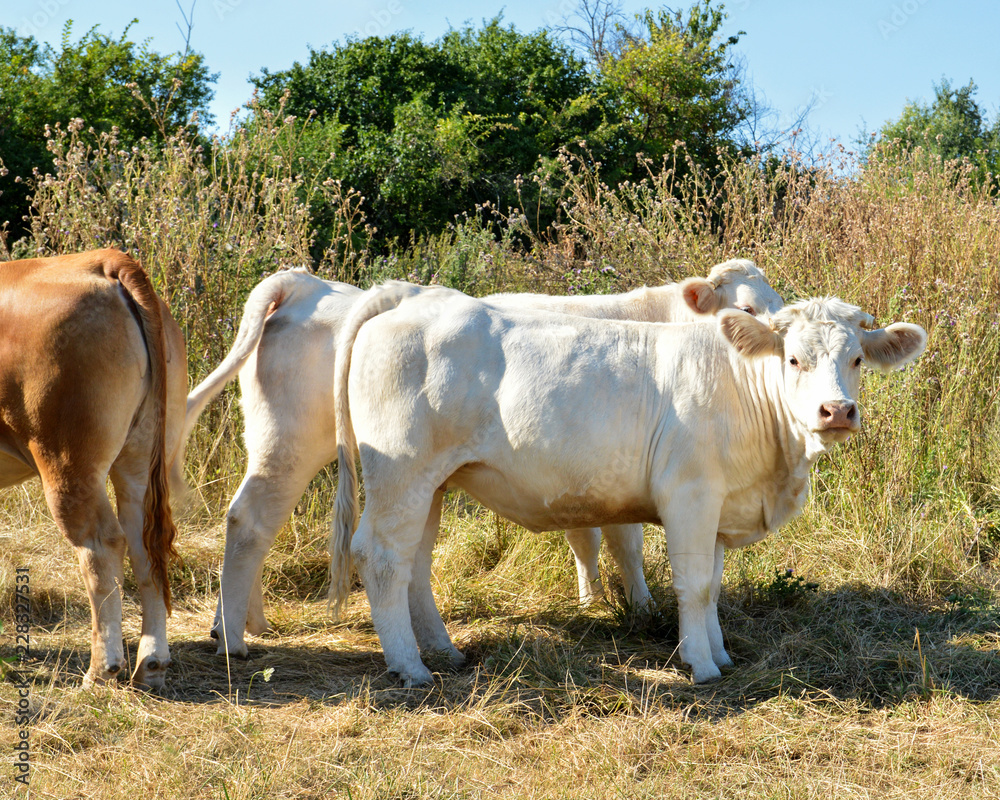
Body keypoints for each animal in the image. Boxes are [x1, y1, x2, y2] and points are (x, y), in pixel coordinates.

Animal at [0, 249, 186, 689]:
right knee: (145, 544)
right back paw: (151, 665)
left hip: (67, 461)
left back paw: (102, 670)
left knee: (102, 544)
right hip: (142, 457)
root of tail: (103, 259)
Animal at [182, 260, 781, 657]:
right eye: (746, 308)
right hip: (293, 449)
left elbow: (590, 537)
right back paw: (234, 637)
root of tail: (307, 284)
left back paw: (245, 623)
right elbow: (622, 542)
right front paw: (638, 606)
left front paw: (595, 598)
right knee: (251, 522)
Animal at [328, 282, 926, 686]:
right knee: (381, 556)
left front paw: (719, 652)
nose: (837, 411)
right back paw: (410, 667)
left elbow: (713, 585)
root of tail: (412, 298)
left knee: (416, 564)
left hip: (432, 484)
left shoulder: (718, 505)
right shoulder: (689, 495)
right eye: (795, 359)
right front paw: (702, 664)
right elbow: (695, 585)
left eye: (856, 358)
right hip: (401, 472)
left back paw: (443, 652)